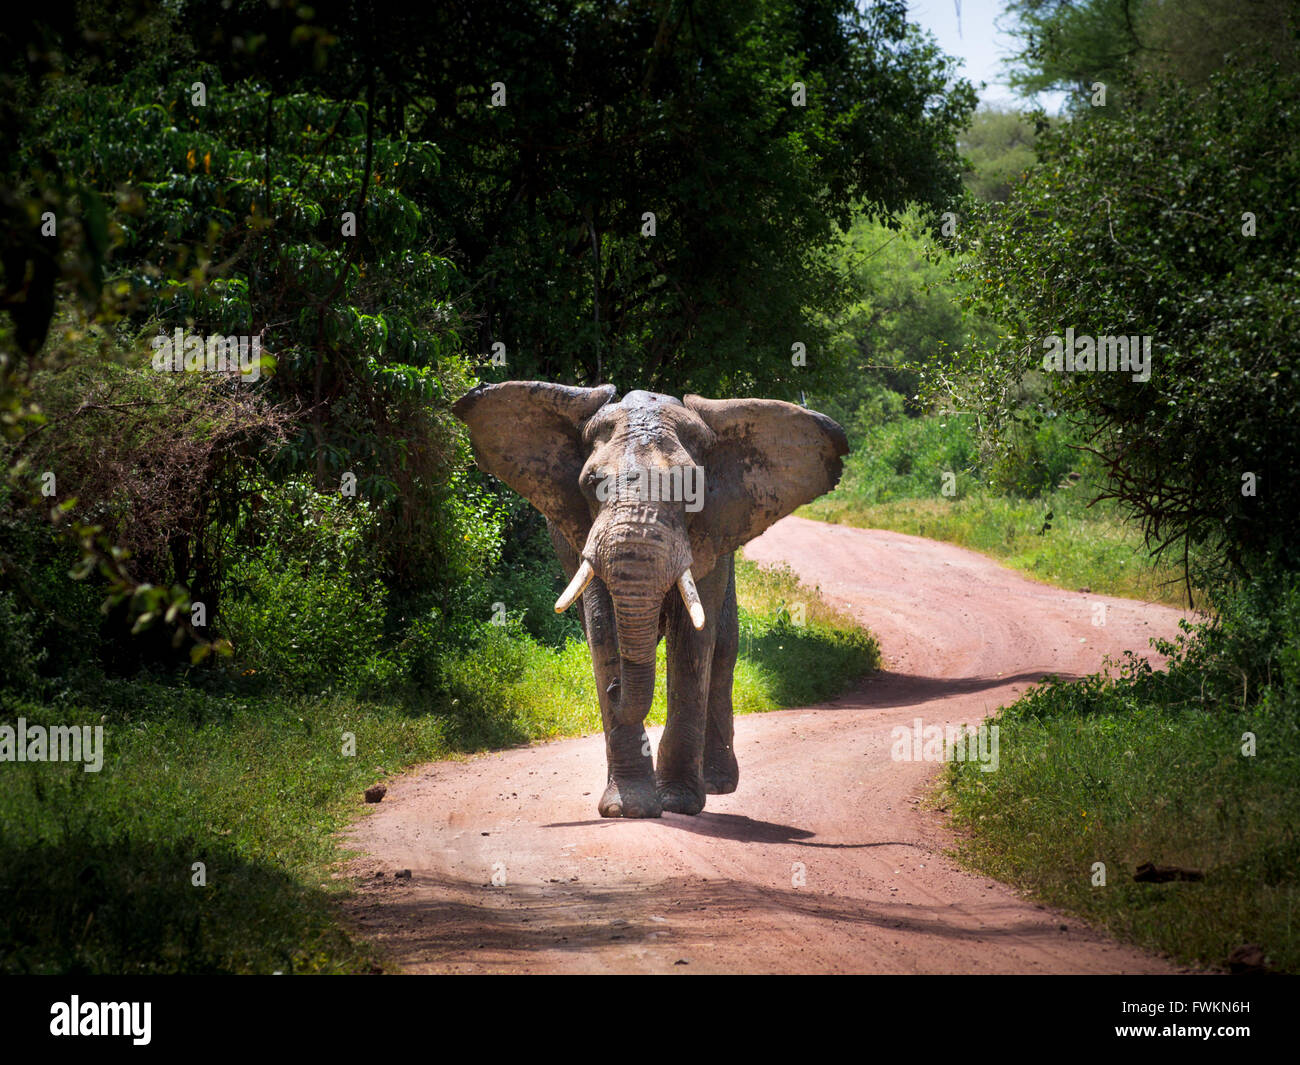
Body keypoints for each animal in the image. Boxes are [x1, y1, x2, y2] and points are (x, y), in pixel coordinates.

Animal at [452, 381, 848, 818]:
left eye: (694, 490)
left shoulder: (709, 539)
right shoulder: (584, 539)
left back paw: (718, 784)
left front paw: (678, 802)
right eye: (590, 484)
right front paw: (628, 808)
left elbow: (694, 644)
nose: (614, 689)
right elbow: (602, 631)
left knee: (724, 648)